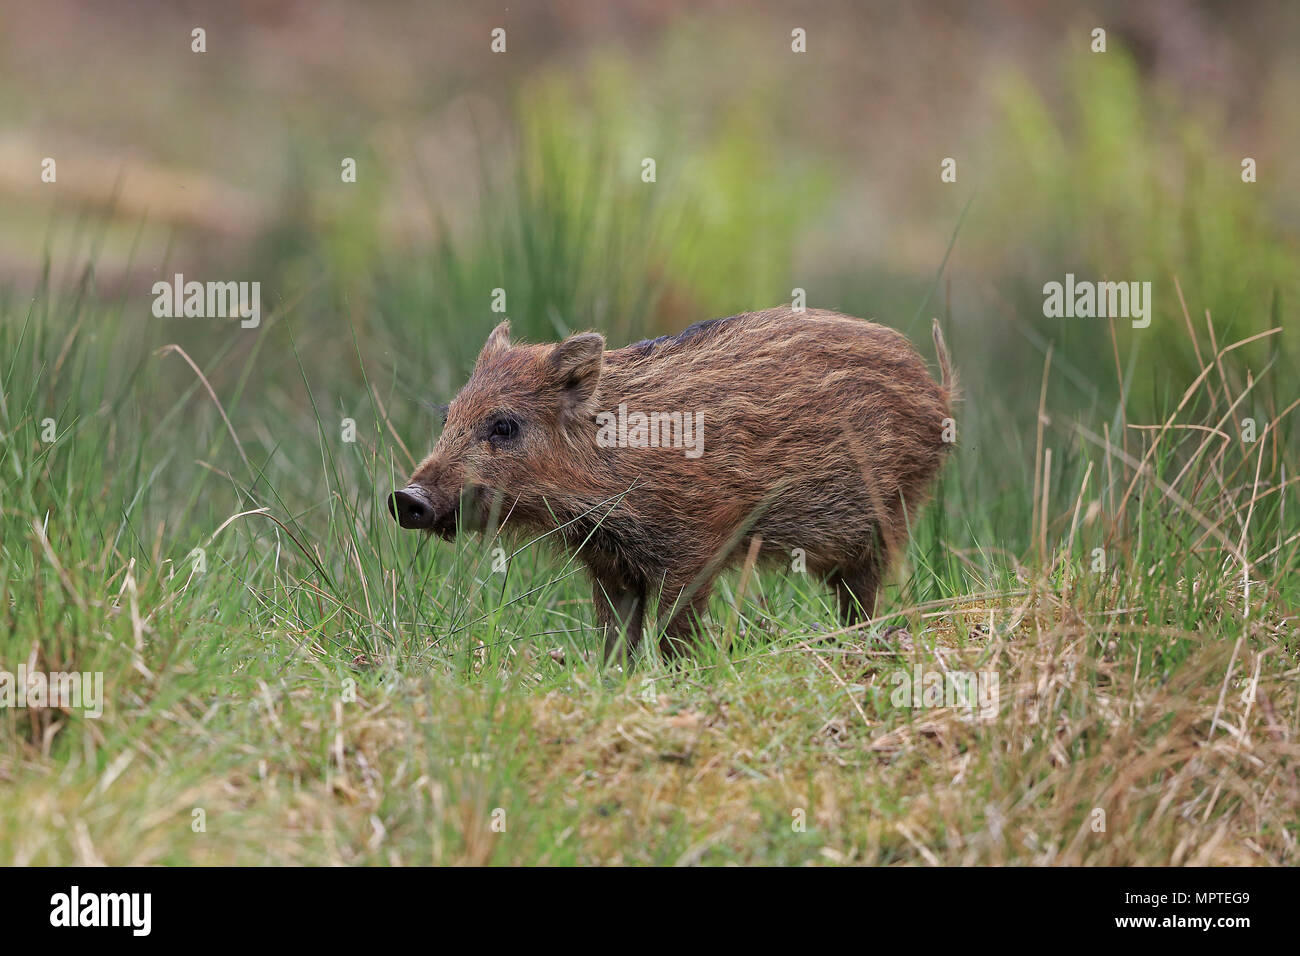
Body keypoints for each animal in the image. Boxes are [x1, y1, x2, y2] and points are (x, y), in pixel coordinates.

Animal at [390, 307, 955, 663]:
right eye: (449, 417)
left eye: (503, 426)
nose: (405, 498)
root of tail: (939, 391)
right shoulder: (608, 563)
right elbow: (615, 635)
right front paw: (612, 681)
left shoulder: (695, 543)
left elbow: (674, 631)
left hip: (887, 515)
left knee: (863, 591)